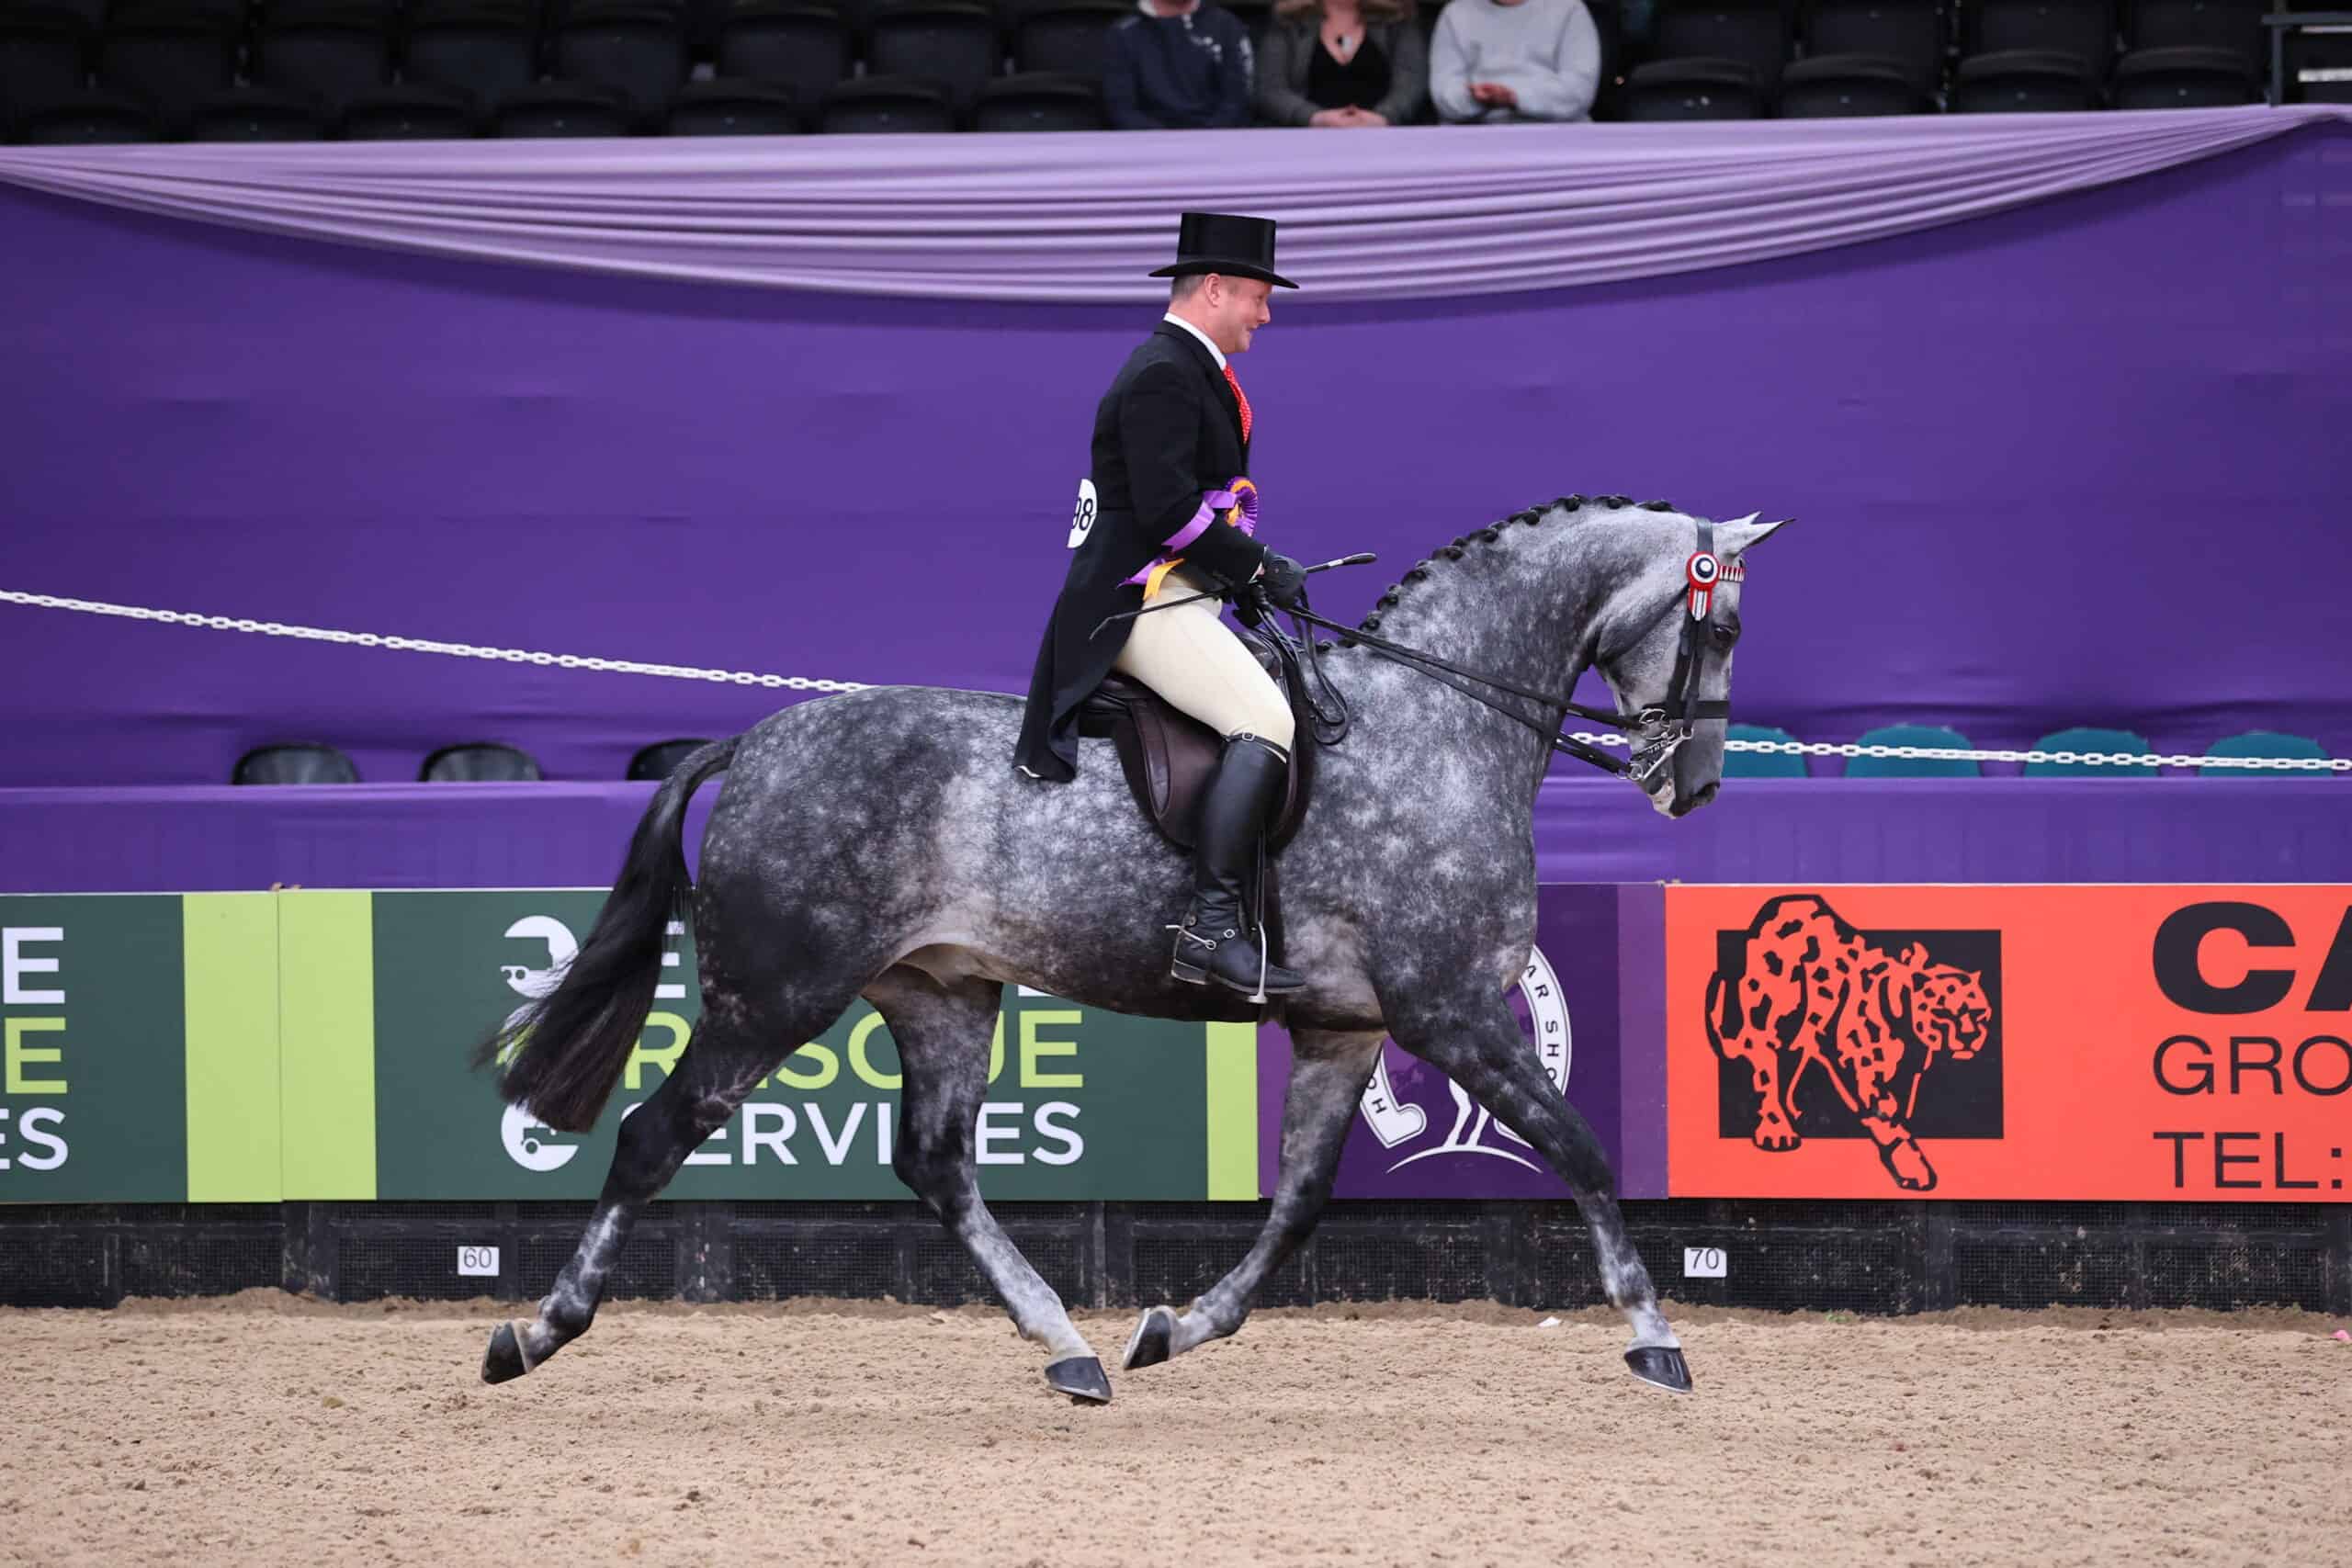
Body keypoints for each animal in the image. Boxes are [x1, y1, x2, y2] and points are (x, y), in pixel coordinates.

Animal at [474, 494, 1790, 1403]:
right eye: (1719, 624)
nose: (1696, 787)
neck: (1439, 722)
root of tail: (747, 744)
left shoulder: (1346, 1027)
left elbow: (1299, 1203)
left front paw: (1177, 1328)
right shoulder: (1449, 1012)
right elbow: (1580, 1149)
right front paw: (1655, 1337)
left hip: (939, 993)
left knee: (937, 1164)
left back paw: (1068, 1348)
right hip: (775, 993)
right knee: (655, 1137)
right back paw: (534, 1333)